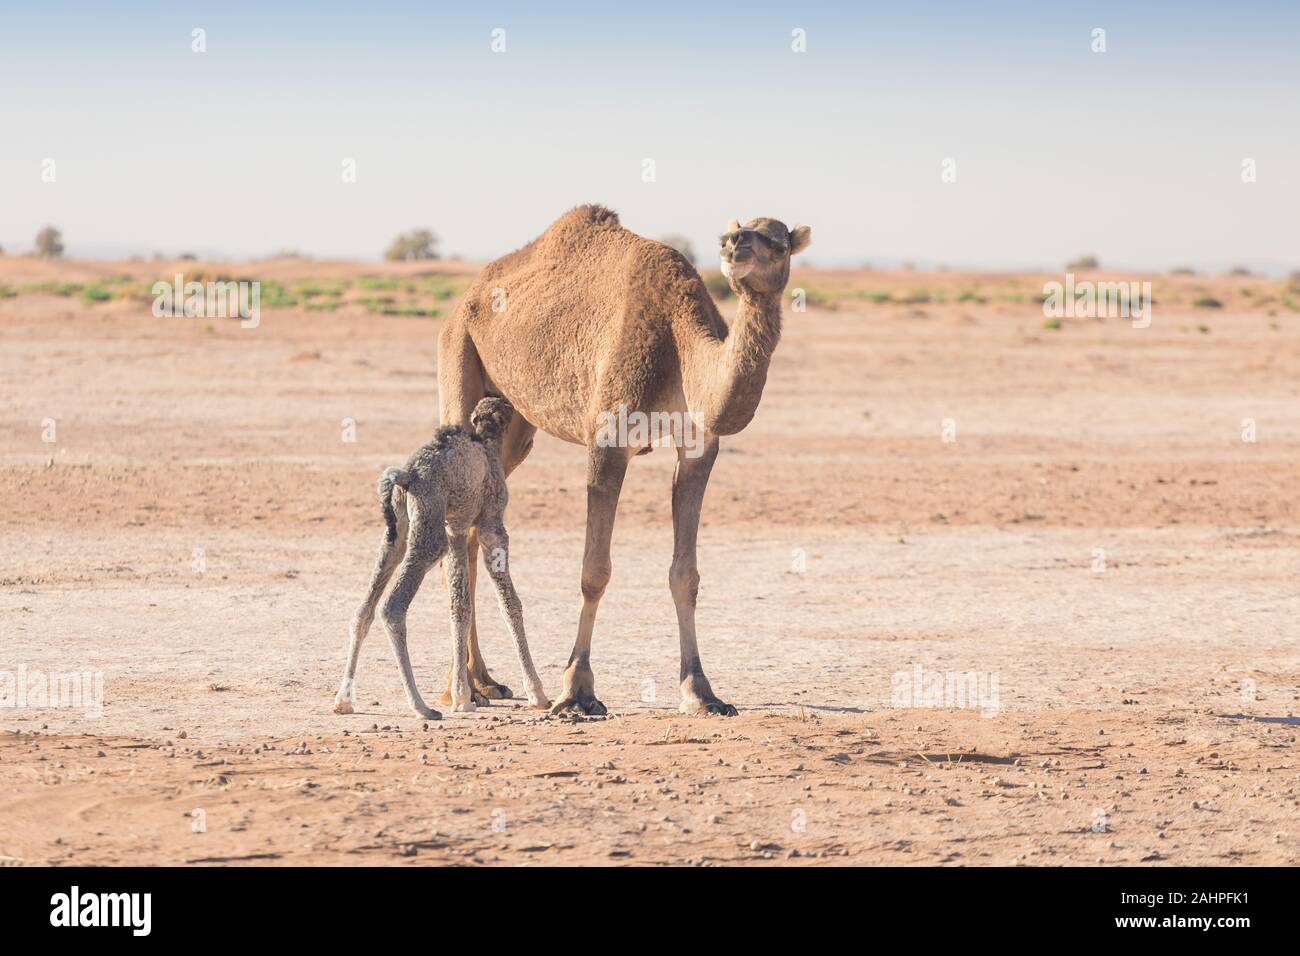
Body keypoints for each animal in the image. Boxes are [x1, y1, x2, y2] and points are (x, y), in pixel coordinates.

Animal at [333, 397, 549, 718]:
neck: (486, 441)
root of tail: (406, 476)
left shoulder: (456, 529)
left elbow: (460, 605)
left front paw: (462, 697)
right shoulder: (492, 525)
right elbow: (510, 603)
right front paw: (537, 693)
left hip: (398, 533)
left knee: (364, 609)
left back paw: (343, 701)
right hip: (429, 533)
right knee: (392, 607)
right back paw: (422, 707)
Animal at [437, 205, 811, 716]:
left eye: (778, 242)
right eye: (734, 233)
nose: (735, 247)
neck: (680, 346)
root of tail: (467, 298)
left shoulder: (699, 446)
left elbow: (685, 575)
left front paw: (701, 691)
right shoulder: (607, 439)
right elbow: (594, 571)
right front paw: (577, 691)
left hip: (511, 426)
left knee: (475, 524)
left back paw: (485, 681)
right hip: (458, 355)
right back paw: (458, 688)